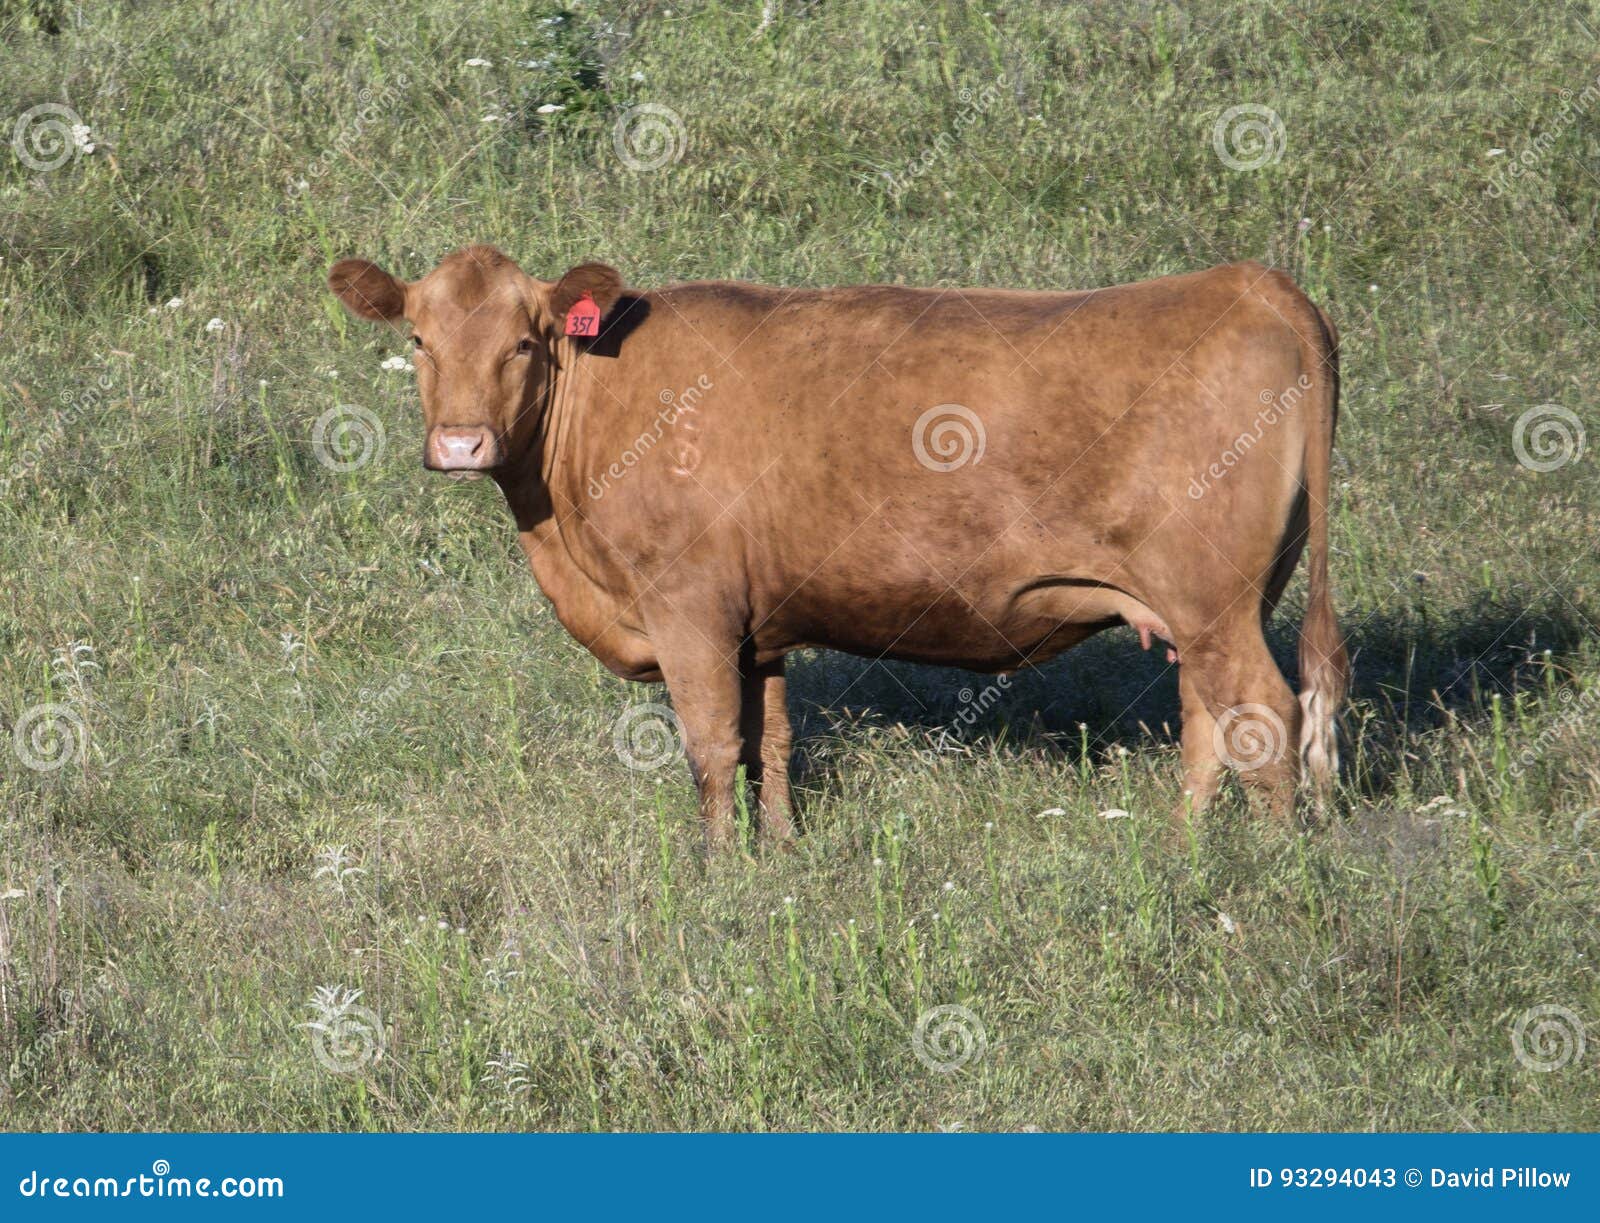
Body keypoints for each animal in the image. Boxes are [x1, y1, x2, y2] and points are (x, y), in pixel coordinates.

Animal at [328, 246, 1348, 849]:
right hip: (1208, 605)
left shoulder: (689, 606)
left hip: (1212, 595)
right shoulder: (760, 622)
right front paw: (779, 854)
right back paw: (1184, 853)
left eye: (526, 344)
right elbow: (772, 740)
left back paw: (1266, 867)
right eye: (418, 338)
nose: (461, 444)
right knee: (1211, 722)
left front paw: (719, 873)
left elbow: (712, 744)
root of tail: (1249, 280)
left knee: (1264, 717)